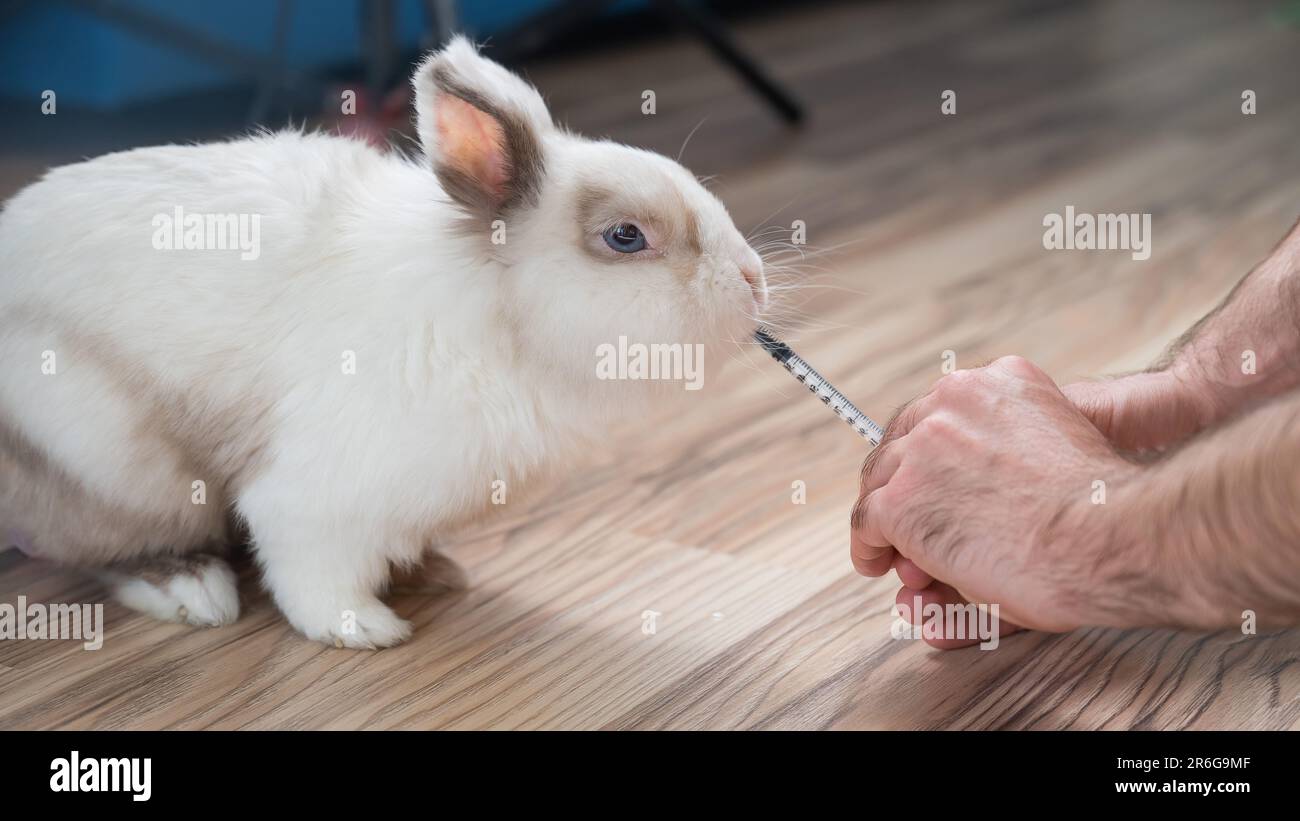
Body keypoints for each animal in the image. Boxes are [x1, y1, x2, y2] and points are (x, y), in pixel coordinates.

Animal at [0, 37, 767, 647]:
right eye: (625, 237)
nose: (754, 280)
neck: (499, 317)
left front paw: (434, 573)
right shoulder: (315, 501)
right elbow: (313, 573)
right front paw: (363, 629)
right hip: (111, 456)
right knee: (102, 545)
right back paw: (192, 588)